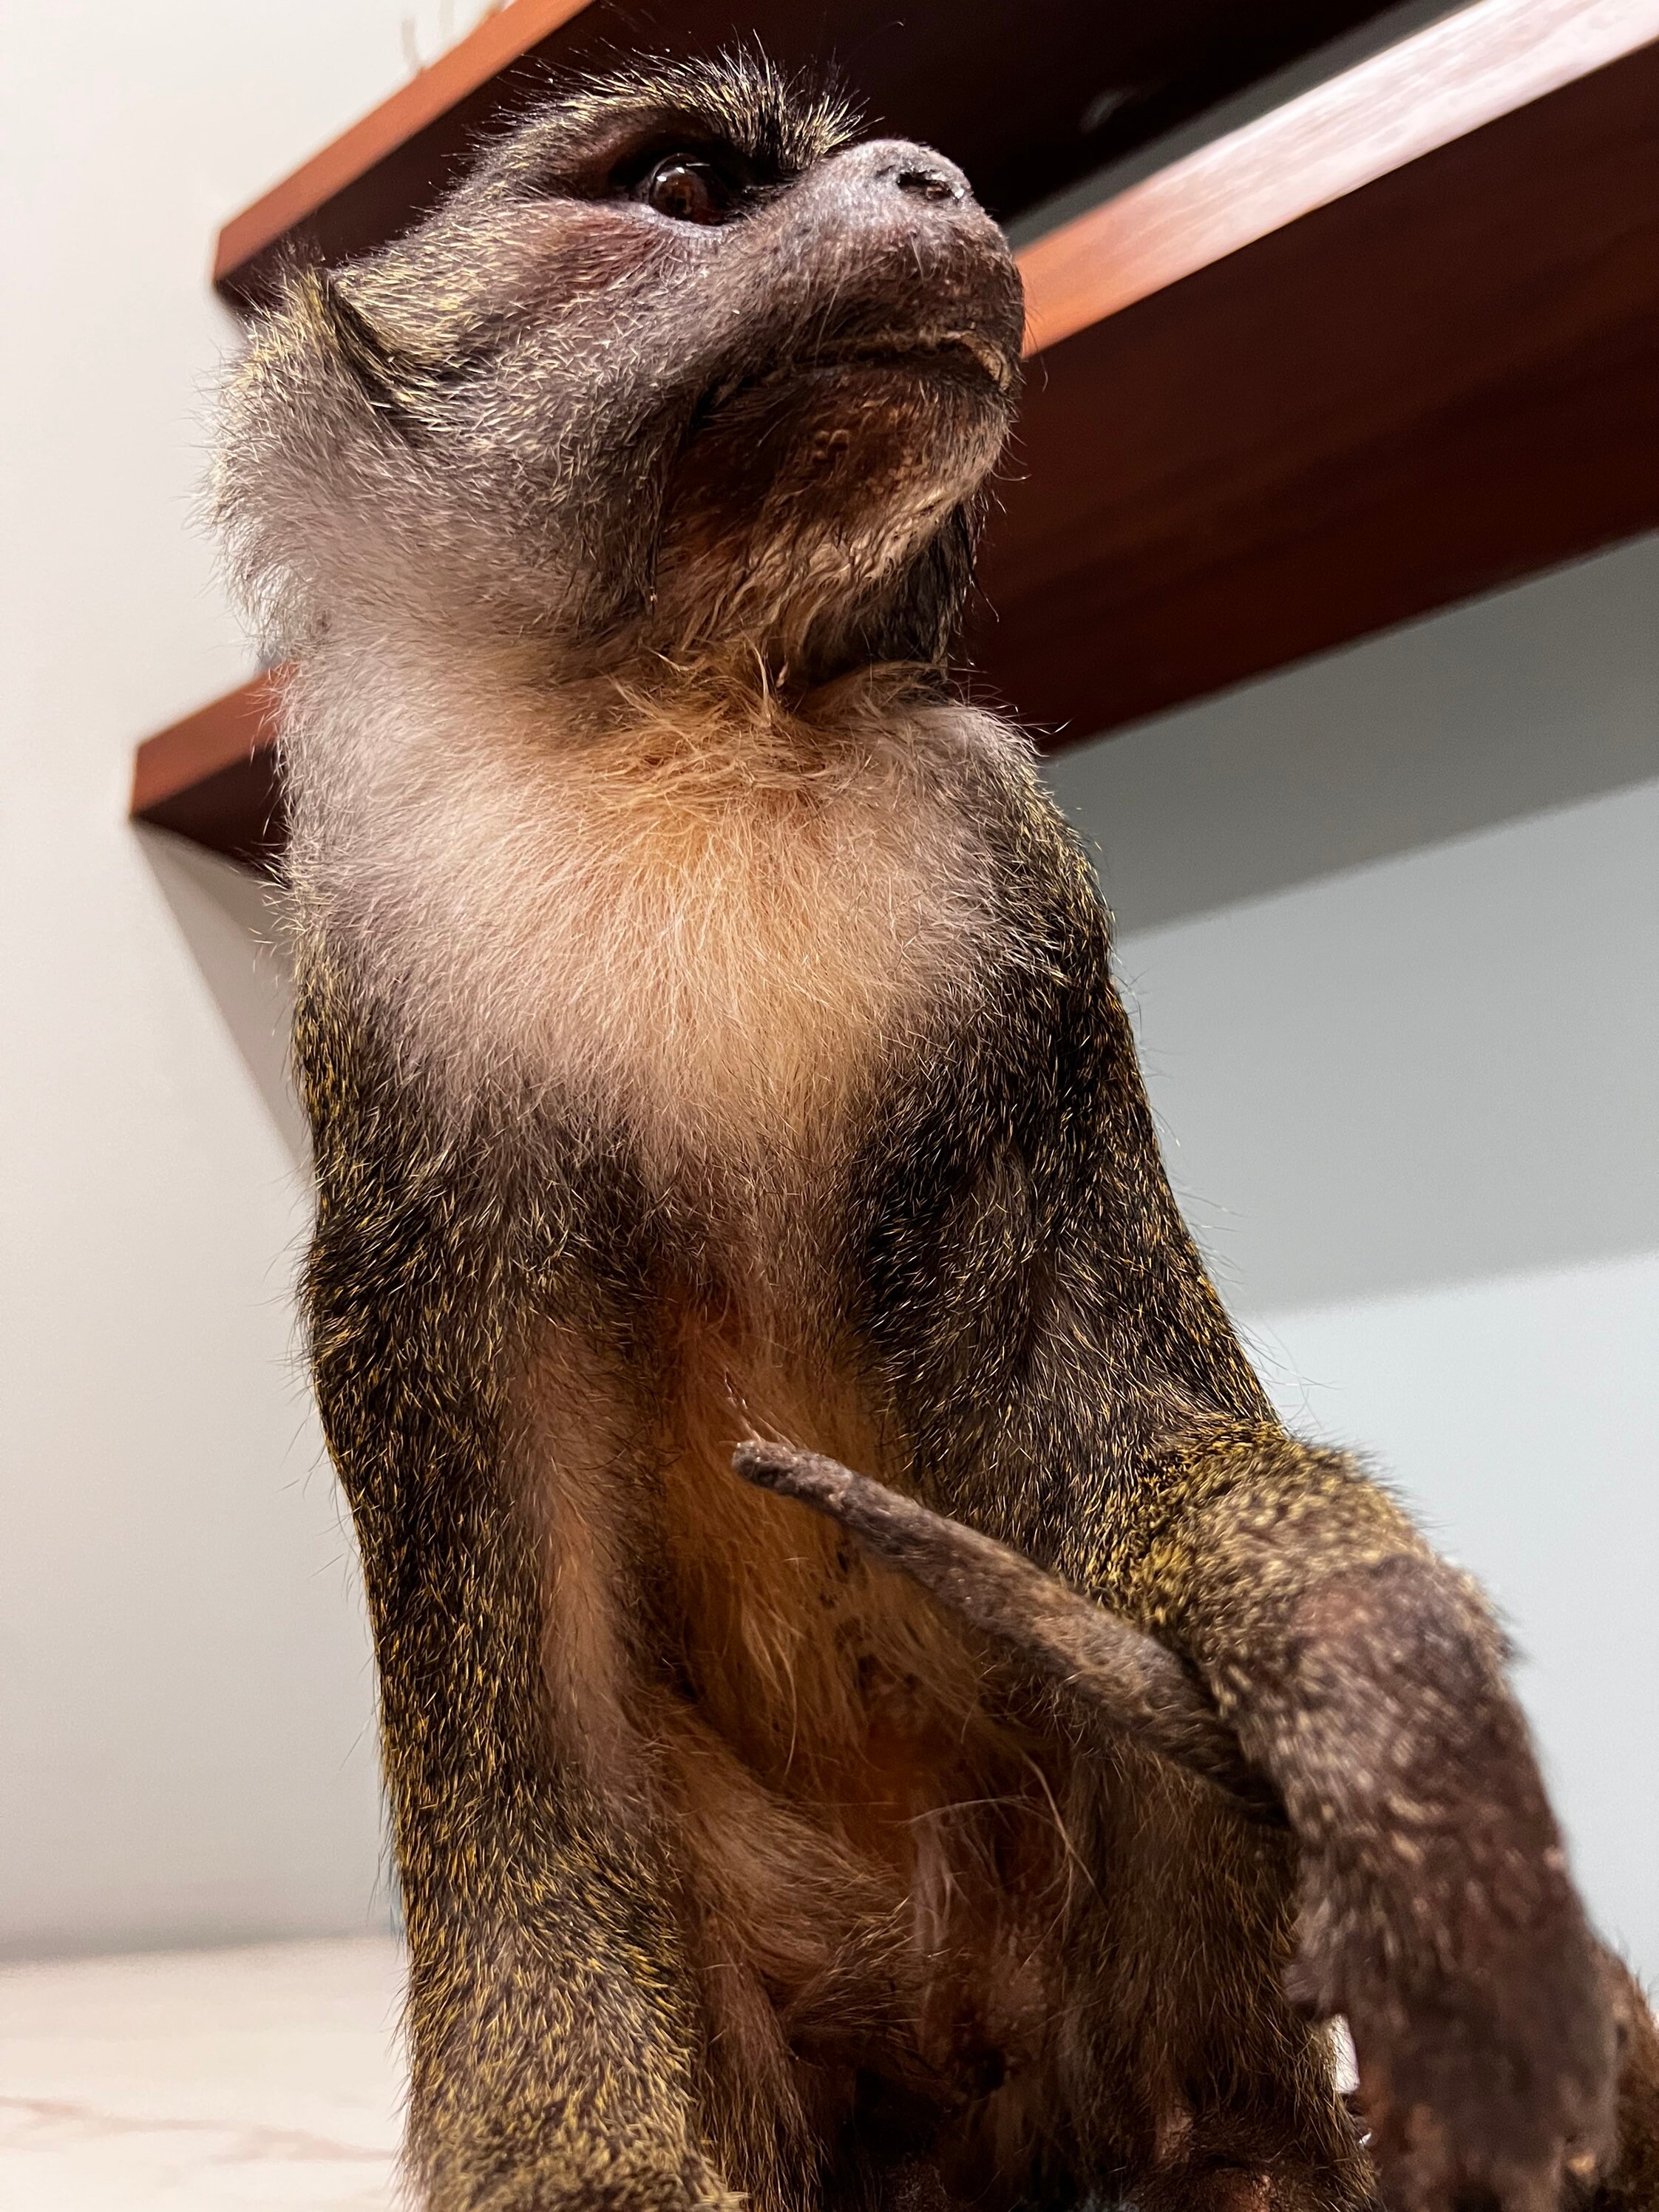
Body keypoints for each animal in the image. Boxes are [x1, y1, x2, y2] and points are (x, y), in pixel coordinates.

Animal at [212, 51, 1658, 2212]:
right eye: (683, 184)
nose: (939, 179)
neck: (687, 733)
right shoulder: (394, 1030)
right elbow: (514, 1729)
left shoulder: (1008, 893)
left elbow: (1115, 1418)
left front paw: (1399, 1722)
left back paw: (1240, 2157)